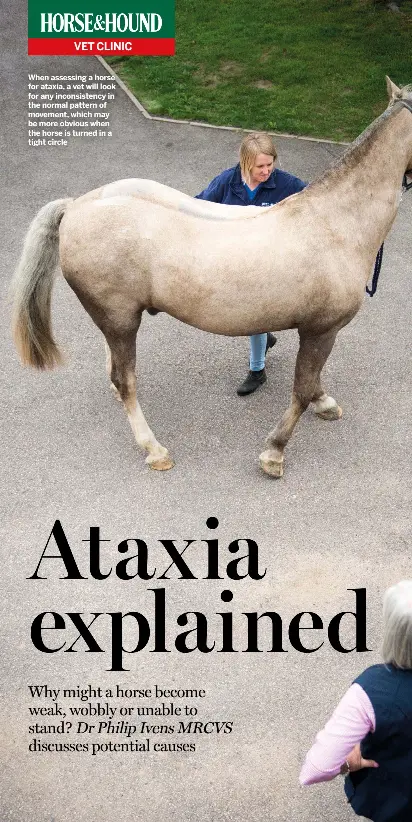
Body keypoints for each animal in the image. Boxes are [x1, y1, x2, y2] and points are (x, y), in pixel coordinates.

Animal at [12, 77, 412, 477]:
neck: (333, 222)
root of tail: (76, 207)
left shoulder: (316, 333)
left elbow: (310, 383)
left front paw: (324, 403)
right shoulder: (320, 331)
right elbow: (300, 390)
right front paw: (274, 452)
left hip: (115, 321)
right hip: (122, 322)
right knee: (125, 381)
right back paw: (154, 449)